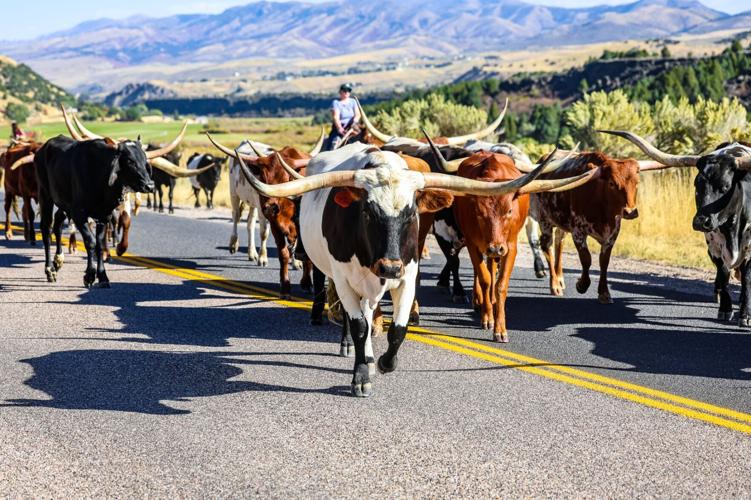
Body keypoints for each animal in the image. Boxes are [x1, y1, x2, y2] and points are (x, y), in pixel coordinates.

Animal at [236, 142, 592, 396]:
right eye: (367, 212)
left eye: (411, 214)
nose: (389, 266)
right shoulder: (347, 278)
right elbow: (360, 326)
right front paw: (361, 376)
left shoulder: (407, 278)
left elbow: (398, 329)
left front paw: (383, 362)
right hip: (333, 271)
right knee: (349, 310)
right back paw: (350, 347)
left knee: (371, 311)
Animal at [600, 130, 751, 325]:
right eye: (696, 185)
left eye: (725, 187)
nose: (700, 222)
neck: (731, 230)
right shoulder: (714, 247)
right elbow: (723, 273)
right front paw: (725, 309)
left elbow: (747, 280)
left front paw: (745, 315)